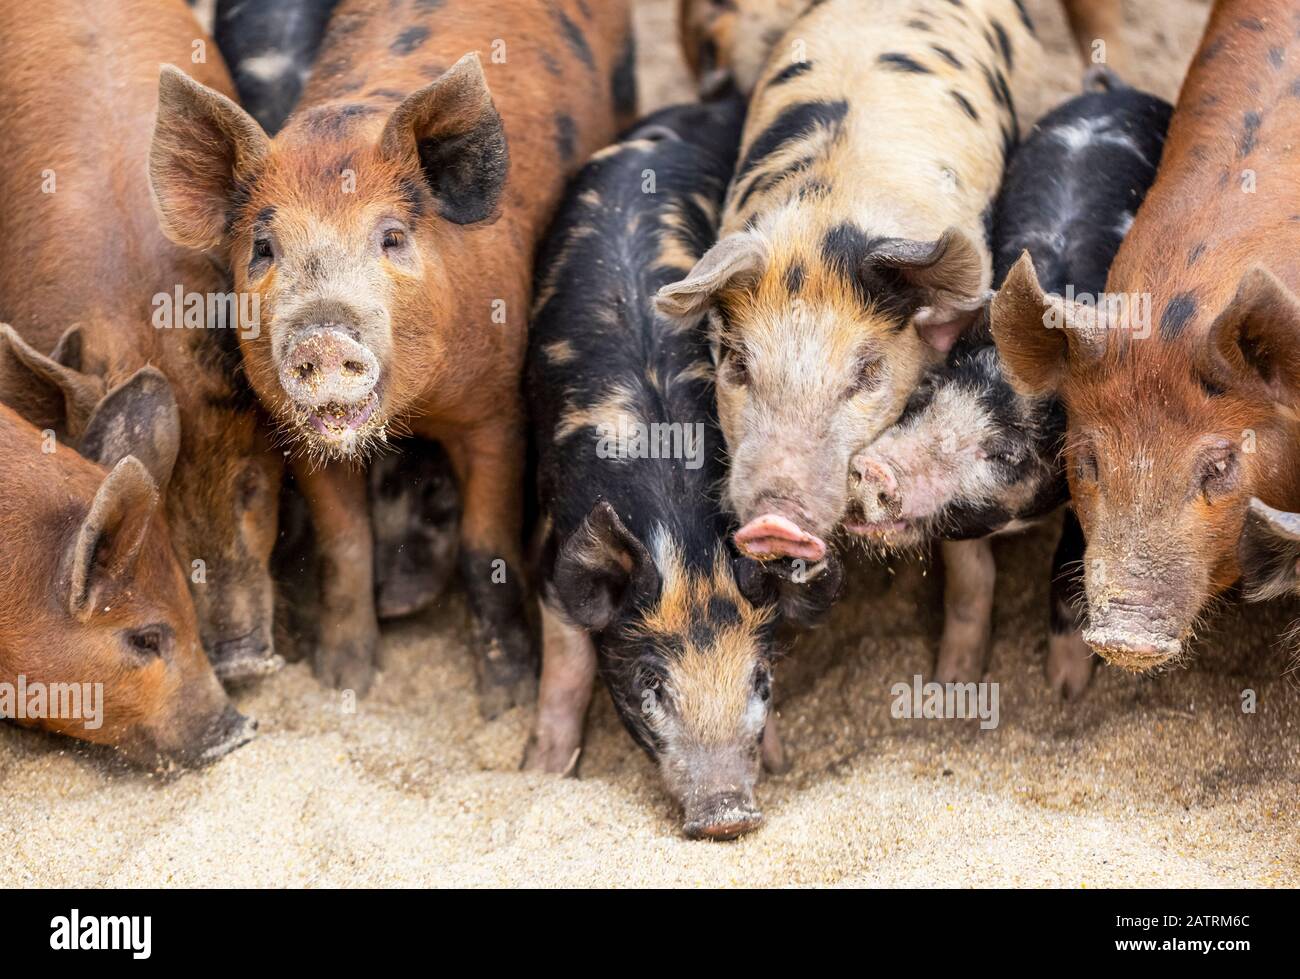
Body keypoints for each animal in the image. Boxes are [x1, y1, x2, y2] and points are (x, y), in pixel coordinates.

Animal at [526, 95, 841, 839]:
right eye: (653, 686)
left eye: (760, 683)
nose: (727, 815)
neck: (683, 544)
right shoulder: (554, 560)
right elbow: (566, 671)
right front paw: (540, 772)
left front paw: (780, 760)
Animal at [847, 71, 1172, 695]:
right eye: (926, 397)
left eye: (1005, 452)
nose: (876, 470)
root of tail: (1114, 88)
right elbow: (971, 583)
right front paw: (953, 680)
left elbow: (1069, 577)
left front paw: (1067, 692)